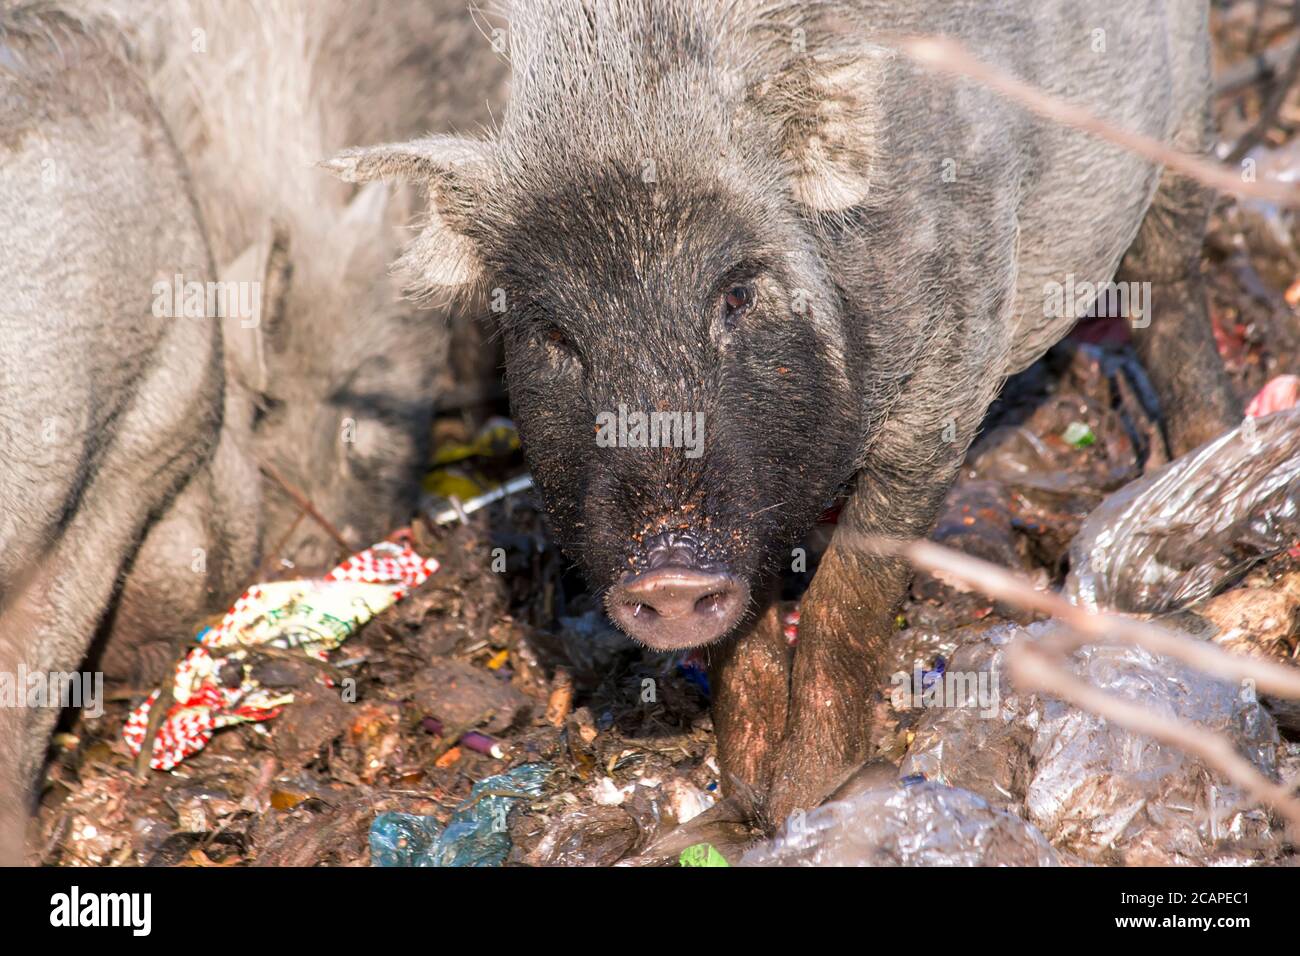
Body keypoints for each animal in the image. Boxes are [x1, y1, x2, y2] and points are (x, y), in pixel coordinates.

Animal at [329, 0, 1241, 829]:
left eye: (737, 293)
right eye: (555, 334)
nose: (668, 572)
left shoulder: (949, 383)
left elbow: (847, 601)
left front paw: (815, 801)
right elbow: (745, 635)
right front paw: (749, 806)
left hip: (1188, 120)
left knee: (1173, 282)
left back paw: (1209, 457)